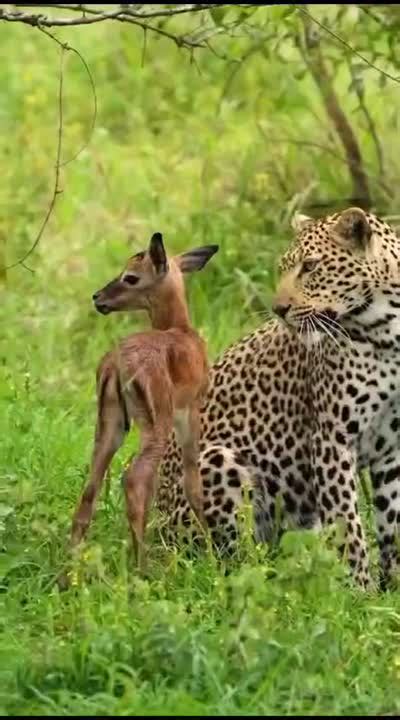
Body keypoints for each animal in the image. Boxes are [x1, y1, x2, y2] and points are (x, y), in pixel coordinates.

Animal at [67, 232, 218, 572]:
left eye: (131, 277)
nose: (98, 298)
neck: (182, 333)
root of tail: (115, 365)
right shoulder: (189, 414)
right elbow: (192, 484)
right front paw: (212, 555)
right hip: (154, 426)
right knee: (134, 479)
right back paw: (143, 568)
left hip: (112, 426)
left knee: (91, 486)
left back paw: (68, 571)